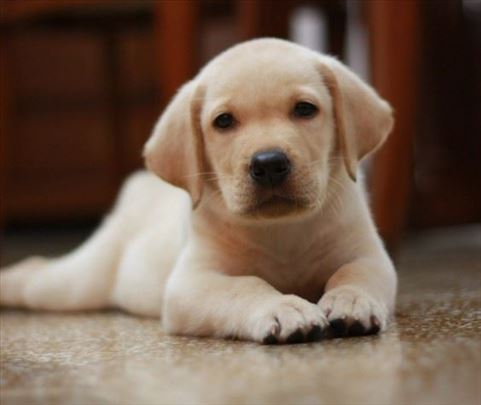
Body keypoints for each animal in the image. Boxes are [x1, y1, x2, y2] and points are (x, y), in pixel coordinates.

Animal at [0, 38, 396, 342]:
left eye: (304, 109)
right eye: (224, 121)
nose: (269, 163)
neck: (279, 232)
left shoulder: (368, 254)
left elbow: (355, 273)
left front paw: (352, 302)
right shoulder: (189, 284)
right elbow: (245, 284)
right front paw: (282, 307)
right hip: (76, 283)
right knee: (36, 272)